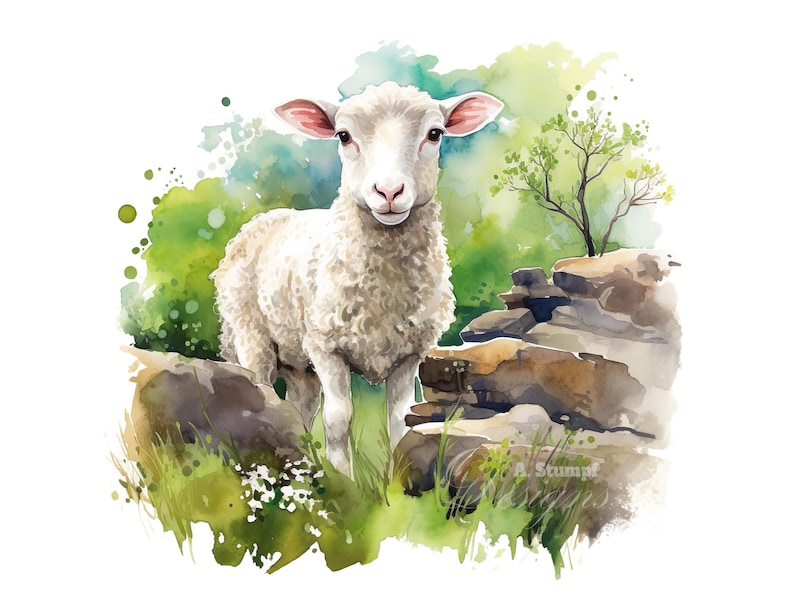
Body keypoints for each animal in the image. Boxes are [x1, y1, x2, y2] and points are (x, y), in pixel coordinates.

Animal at [212, 82, 503, 477]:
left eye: (435, 134)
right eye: (344, 136)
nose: (389, 192)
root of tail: (264, 219)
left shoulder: (409, 353)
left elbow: (401, 421)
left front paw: (395, 479)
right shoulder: (327, 347)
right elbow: (338, 421)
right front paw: (346, 480)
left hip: (299, 361)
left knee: (299, 411)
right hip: (252, 336)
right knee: (265, 394)